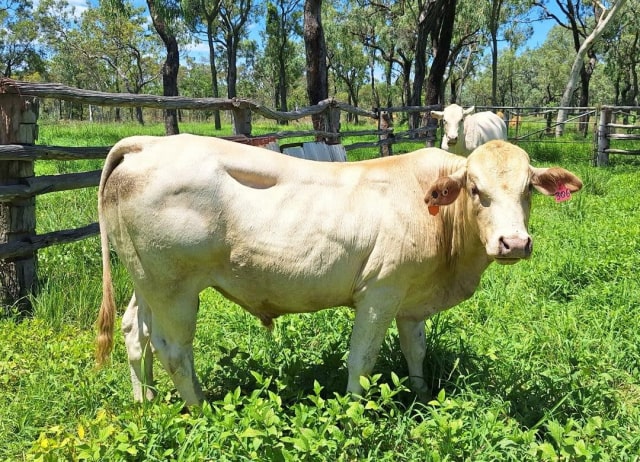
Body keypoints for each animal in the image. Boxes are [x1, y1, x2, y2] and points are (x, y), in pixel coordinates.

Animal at [96, 135, 582, 406]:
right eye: (476, 189)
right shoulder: (380, 292)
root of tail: (147, 142)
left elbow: (416, 351)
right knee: (174, 350)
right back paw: (201, 409)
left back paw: (146, 400)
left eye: (528, 189)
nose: (514, 243)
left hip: (146, 281)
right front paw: (352, 414)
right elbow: (362, 359)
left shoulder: (411, 300)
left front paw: (423, 396)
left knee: (135, 332)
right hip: (174, 288)